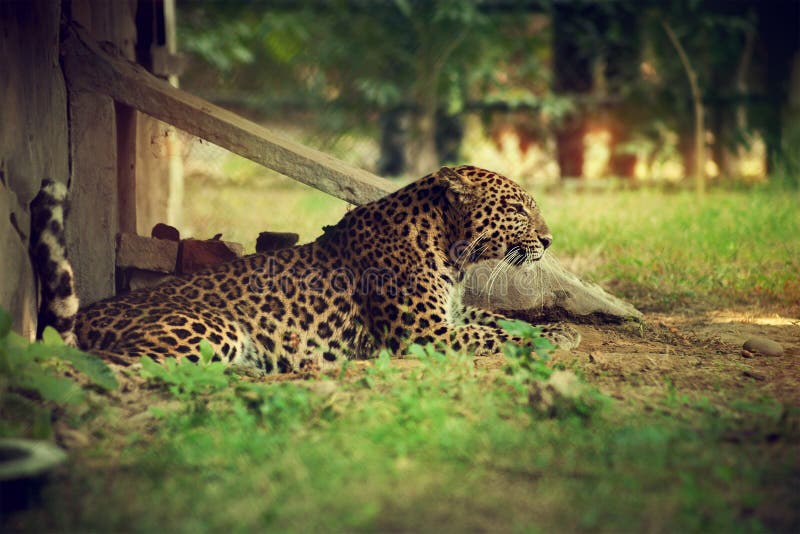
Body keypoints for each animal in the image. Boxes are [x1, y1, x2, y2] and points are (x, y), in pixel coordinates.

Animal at [31, 165, 580, 373]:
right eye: (517, 209)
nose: (550, 240)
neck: (451, 248)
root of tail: (82, 319)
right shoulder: (425, 334)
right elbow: (496, 335)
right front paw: (552, 340)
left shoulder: (451, 316)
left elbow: (500, 320)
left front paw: (560, 331)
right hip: (210, 328)